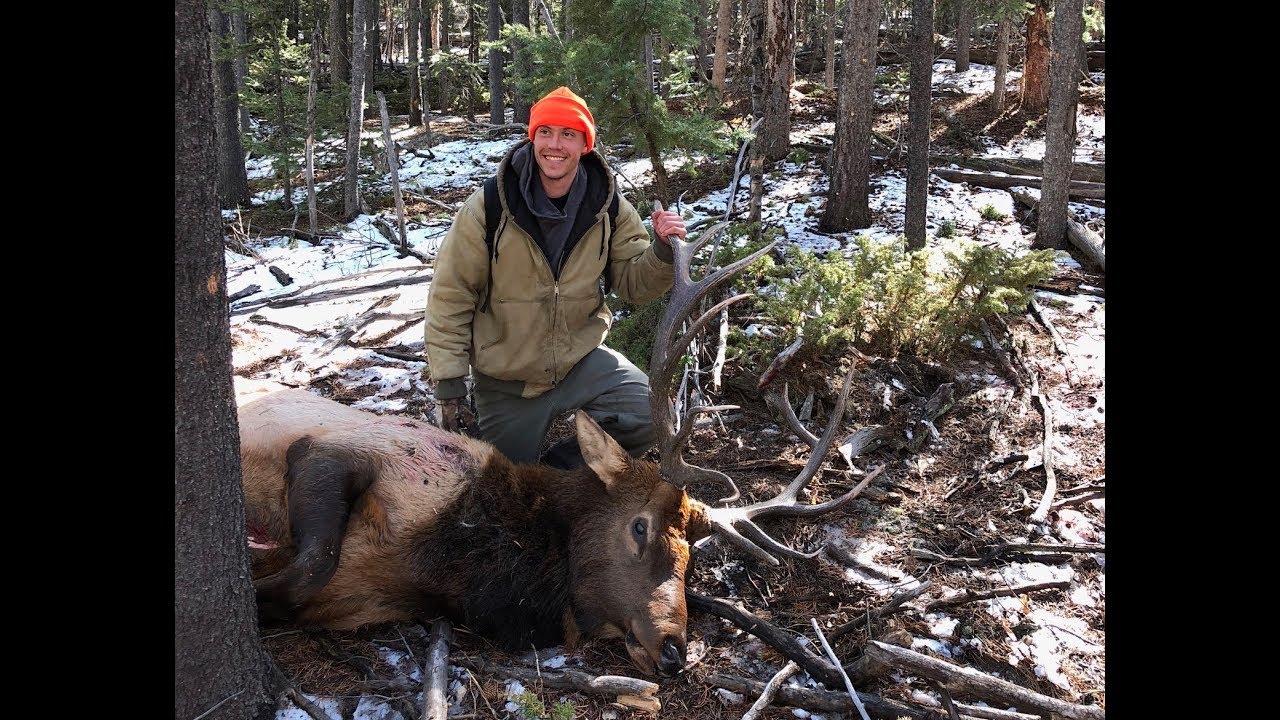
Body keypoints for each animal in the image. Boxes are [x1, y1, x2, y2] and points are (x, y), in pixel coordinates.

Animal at [236, 219, 881, 678]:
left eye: (693, 556)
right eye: (640, 526)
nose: (675, 652)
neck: (455, 558)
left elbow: (297, 585)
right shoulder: (338, 448)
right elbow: (309, 564)